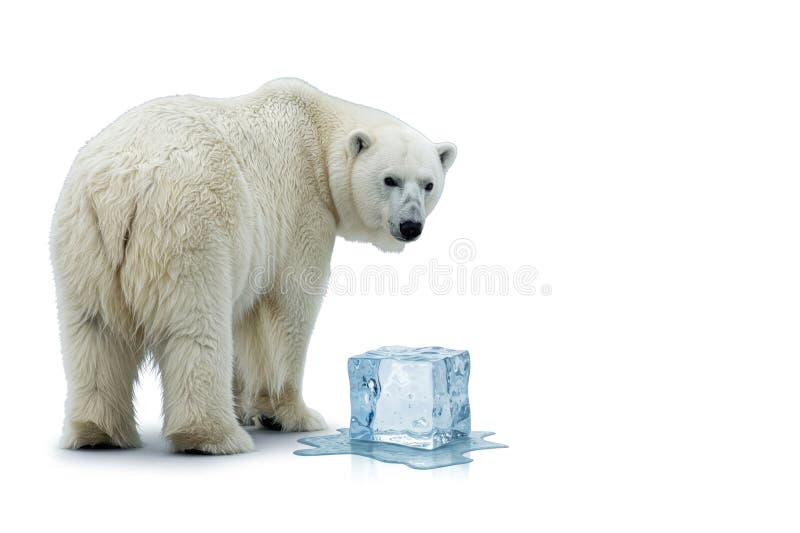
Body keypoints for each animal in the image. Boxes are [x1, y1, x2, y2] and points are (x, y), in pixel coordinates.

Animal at [50, 78, 457, 454]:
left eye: (428, 184)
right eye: (390, 179)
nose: (411, 226)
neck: (318, 133)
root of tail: (124, 190)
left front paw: (246, 408)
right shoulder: (300, 210)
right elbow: (289, 308)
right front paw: (292, 414)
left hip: (84, 242)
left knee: (93, 331)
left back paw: (97, 432)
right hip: (189, 230)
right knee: (197, 329)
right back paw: (213, 436)